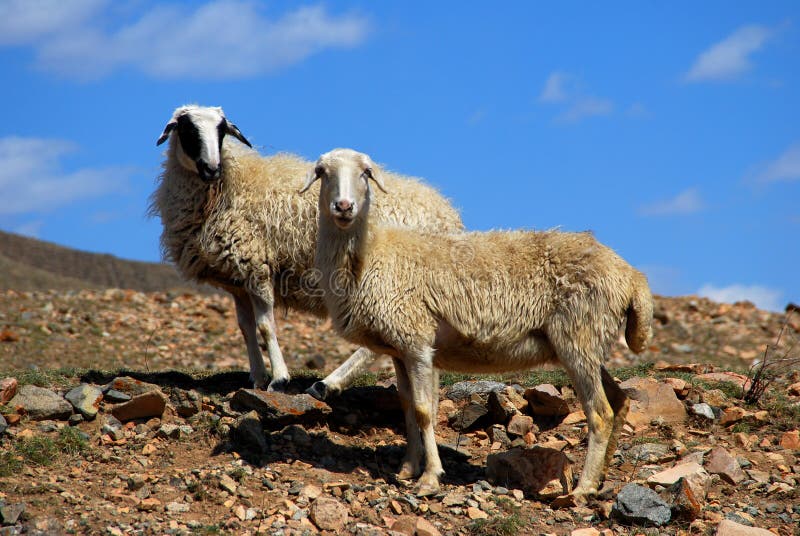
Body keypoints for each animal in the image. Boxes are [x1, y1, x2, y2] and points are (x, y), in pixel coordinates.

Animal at [150, 106, 463, 392]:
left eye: (221, 131)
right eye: (188, 129)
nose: (211, 168)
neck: (227, 187)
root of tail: (448, 217)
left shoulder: (257, 265)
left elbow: (265, 326)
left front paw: (279, 378)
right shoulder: (237, 279)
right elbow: (246, 329)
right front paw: (257, 377)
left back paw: (329, 383)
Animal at [301, 148, 654, 503]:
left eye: (366, 172)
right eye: (322, 172)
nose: (344, 206)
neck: (371, 253)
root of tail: (630, 276)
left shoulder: (417, 342)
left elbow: (425, 410)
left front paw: (430, 478)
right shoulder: (399, 349)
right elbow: (407, 407)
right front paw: (408, 468)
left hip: (578, 337)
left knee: (600, 413)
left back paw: (583, 488)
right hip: (588, 344)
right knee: (619, 401)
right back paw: (601, 477)